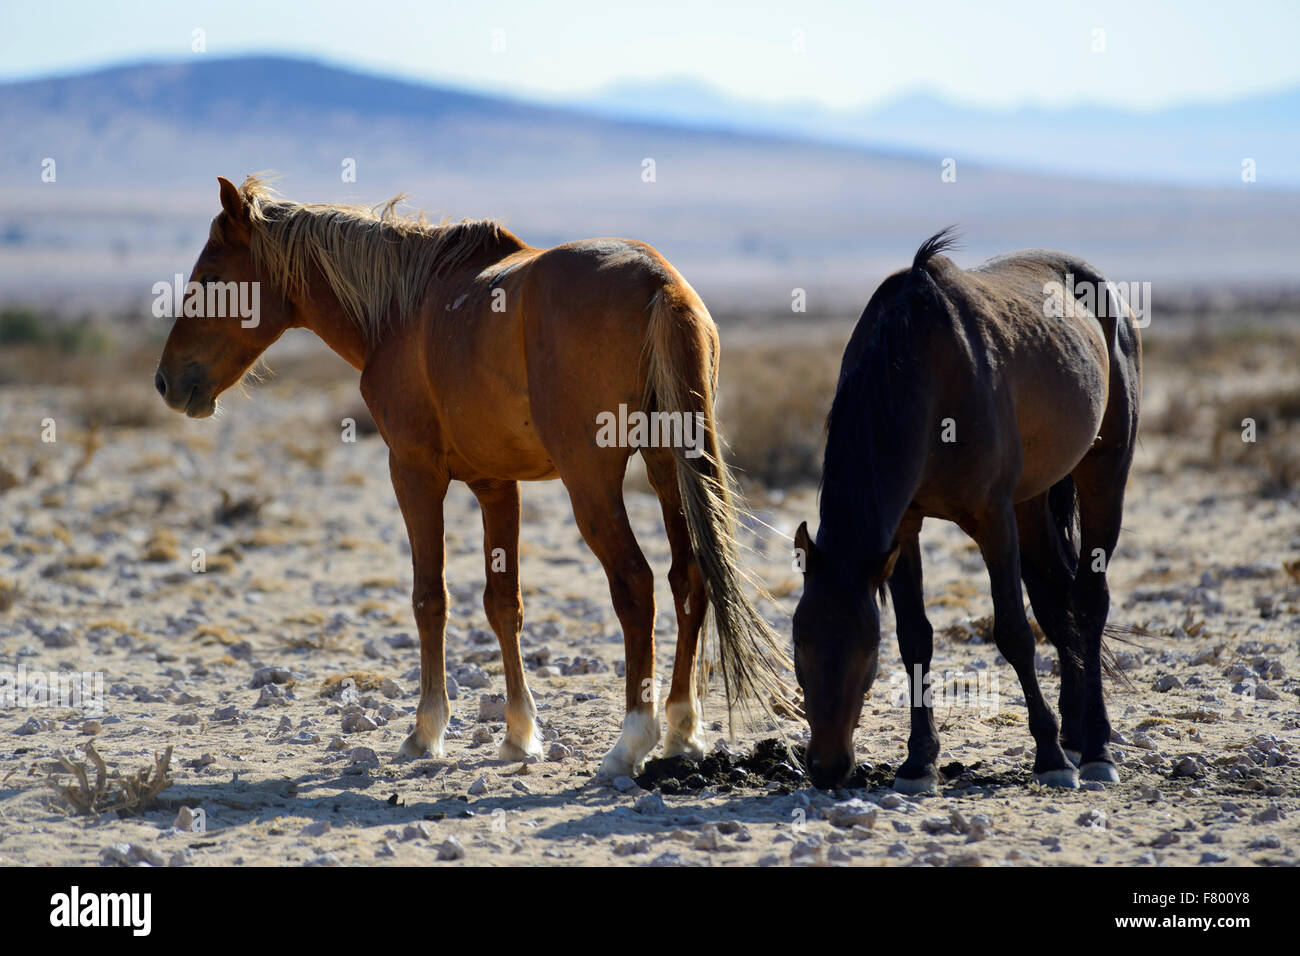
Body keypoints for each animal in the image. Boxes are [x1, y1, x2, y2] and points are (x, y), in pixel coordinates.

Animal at [154, 175, 790, 778]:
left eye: (211, 277)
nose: (165, 382)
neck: (403, 310)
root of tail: (660, 283)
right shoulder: (495, 485)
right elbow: (502, 604)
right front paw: (518, 734)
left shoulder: (413, 471)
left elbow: (429, 599)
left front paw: (425, 732)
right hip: (669, 470)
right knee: (689, 578)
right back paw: (682, 730)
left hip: (593, 483)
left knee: (636, 585)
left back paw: (631, 741)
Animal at [792, 229, 1141, 791]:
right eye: (799, 641)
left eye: (866, 650)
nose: (826, 768)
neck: (922, 372)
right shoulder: (905, 527)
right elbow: (915, 637)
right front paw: (919, 761)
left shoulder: (992, 518)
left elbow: (1014, 632)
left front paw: (1049, 757)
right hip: (1032, 501)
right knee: (1056, 599)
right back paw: (1074, 730)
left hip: (1103, 475)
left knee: (1088, 602)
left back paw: (1094, 748)